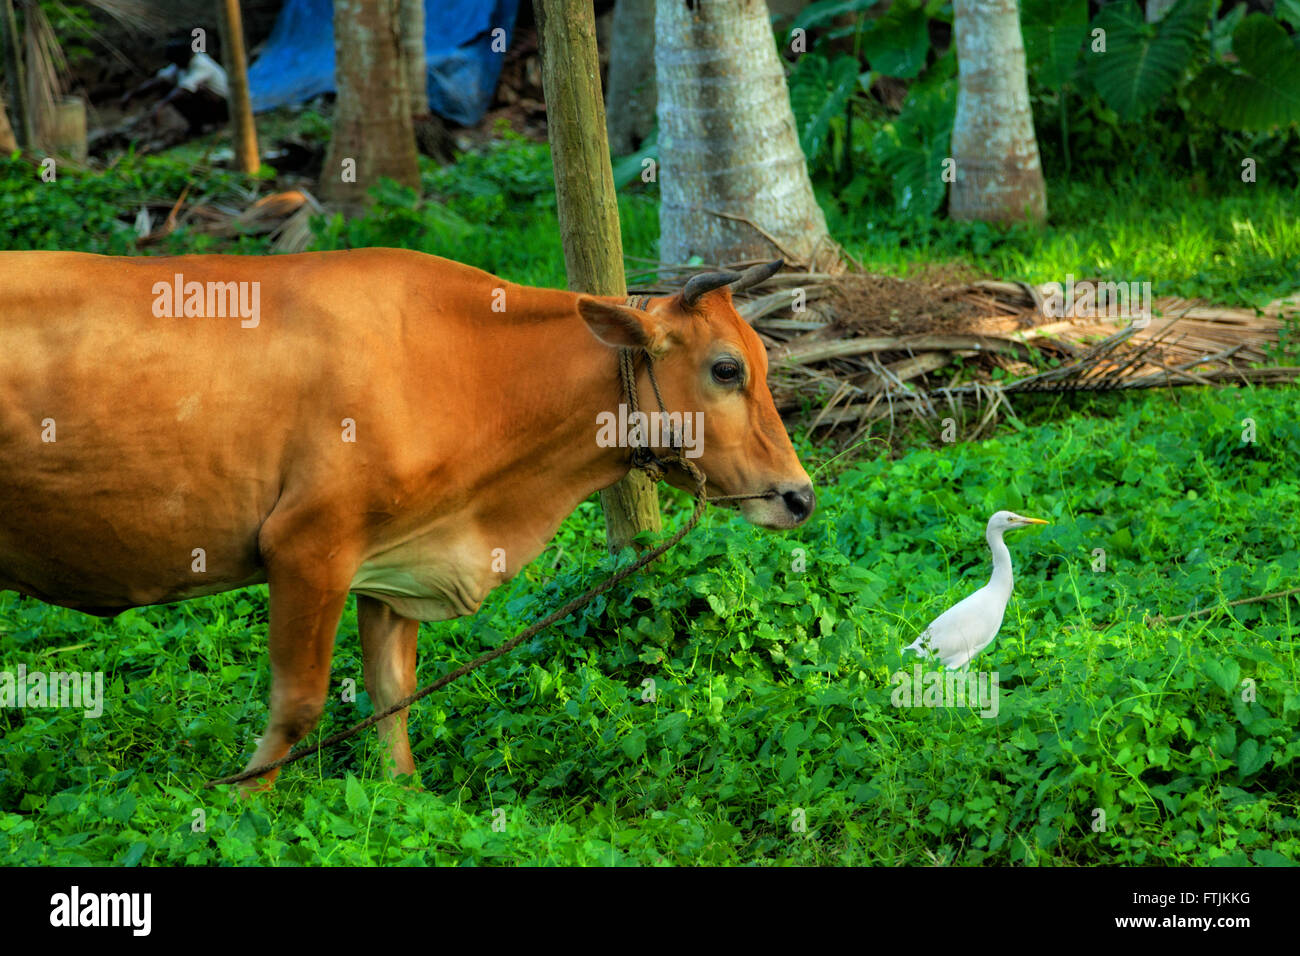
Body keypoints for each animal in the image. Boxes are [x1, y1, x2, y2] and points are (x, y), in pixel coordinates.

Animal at [0, 248, 814, 788]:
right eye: (726, 369)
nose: (799, 496)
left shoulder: (392, 561)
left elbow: (393, 694)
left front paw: (404, 794)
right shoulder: (308, 547)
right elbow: (299, 704)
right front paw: (245, 804)